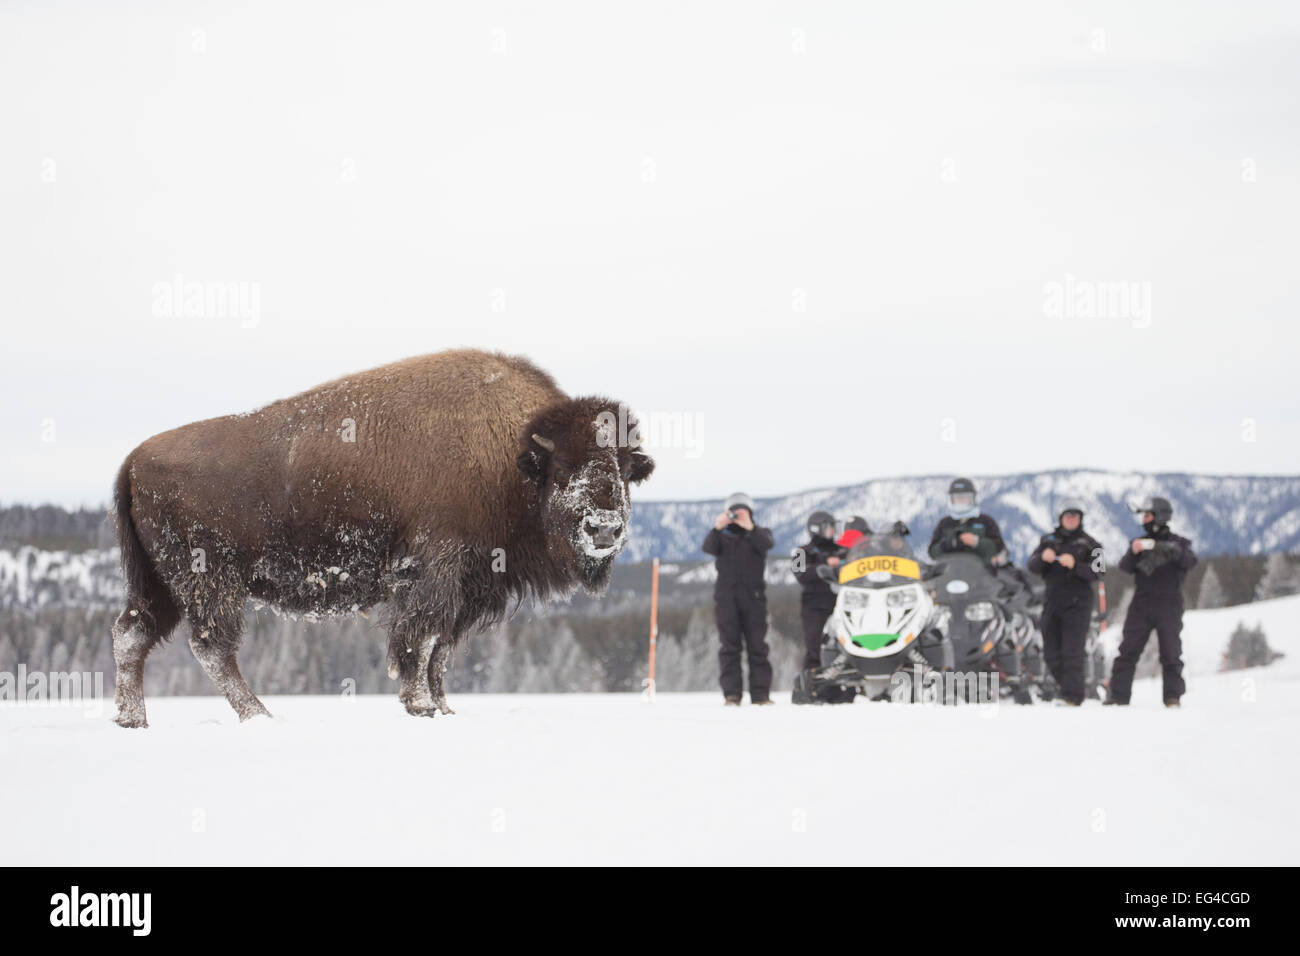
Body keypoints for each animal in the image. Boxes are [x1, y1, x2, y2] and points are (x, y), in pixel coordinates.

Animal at [110, 349, 654, 726]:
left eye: (625, 471)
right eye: (562, 470)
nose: (604, 528)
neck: (511, 456)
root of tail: (135, 458)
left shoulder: (470, 588)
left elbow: (442, 649)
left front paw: (443, 708)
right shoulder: (435, 572)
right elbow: (422, 638)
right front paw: (421, 706)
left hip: (161, 586)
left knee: (131, 635)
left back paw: (132, 719)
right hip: (210, 582)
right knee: (211, 647)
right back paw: (258, 715)